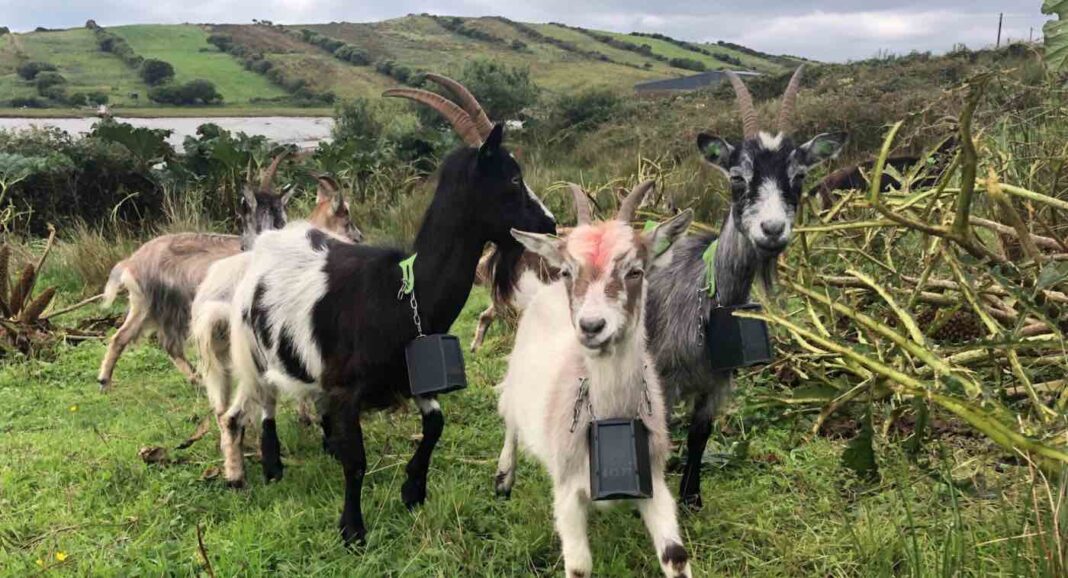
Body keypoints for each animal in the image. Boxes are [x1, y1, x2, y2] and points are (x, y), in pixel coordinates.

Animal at [97, 154, 296, 390]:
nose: (242, 246)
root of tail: (132, 261)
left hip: (153, 307)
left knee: (143, 339)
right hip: (162, 304)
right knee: (152, 341)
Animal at [216, 75, 556, 546]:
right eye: (513, 177)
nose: (551, 223)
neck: (401, 294)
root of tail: (268, 240)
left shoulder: (412, 376)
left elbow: (435, 425)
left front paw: (413, 489)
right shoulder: (346, 389)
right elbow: (356, 461)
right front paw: (352, 529)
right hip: (256, 345)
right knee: (265, 399)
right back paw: (271, 465)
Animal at [497, 182, 694, 578]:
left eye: (635, 271)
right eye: (568, 272)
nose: (591, 326)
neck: (609, 416)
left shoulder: (655, 482)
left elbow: (675, 556)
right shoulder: (566, 492)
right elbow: (578, 567)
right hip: (515, 380)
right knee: (510, 417)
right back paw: (504, 476)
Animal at [645, 66, 847, 509]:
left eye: (799, 176)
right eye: (738, 177)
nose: (772, 230)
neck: (708, 295)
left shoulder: (717, 384)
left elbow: (699, 436)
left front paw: (692, 498)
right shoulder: (663, 377)